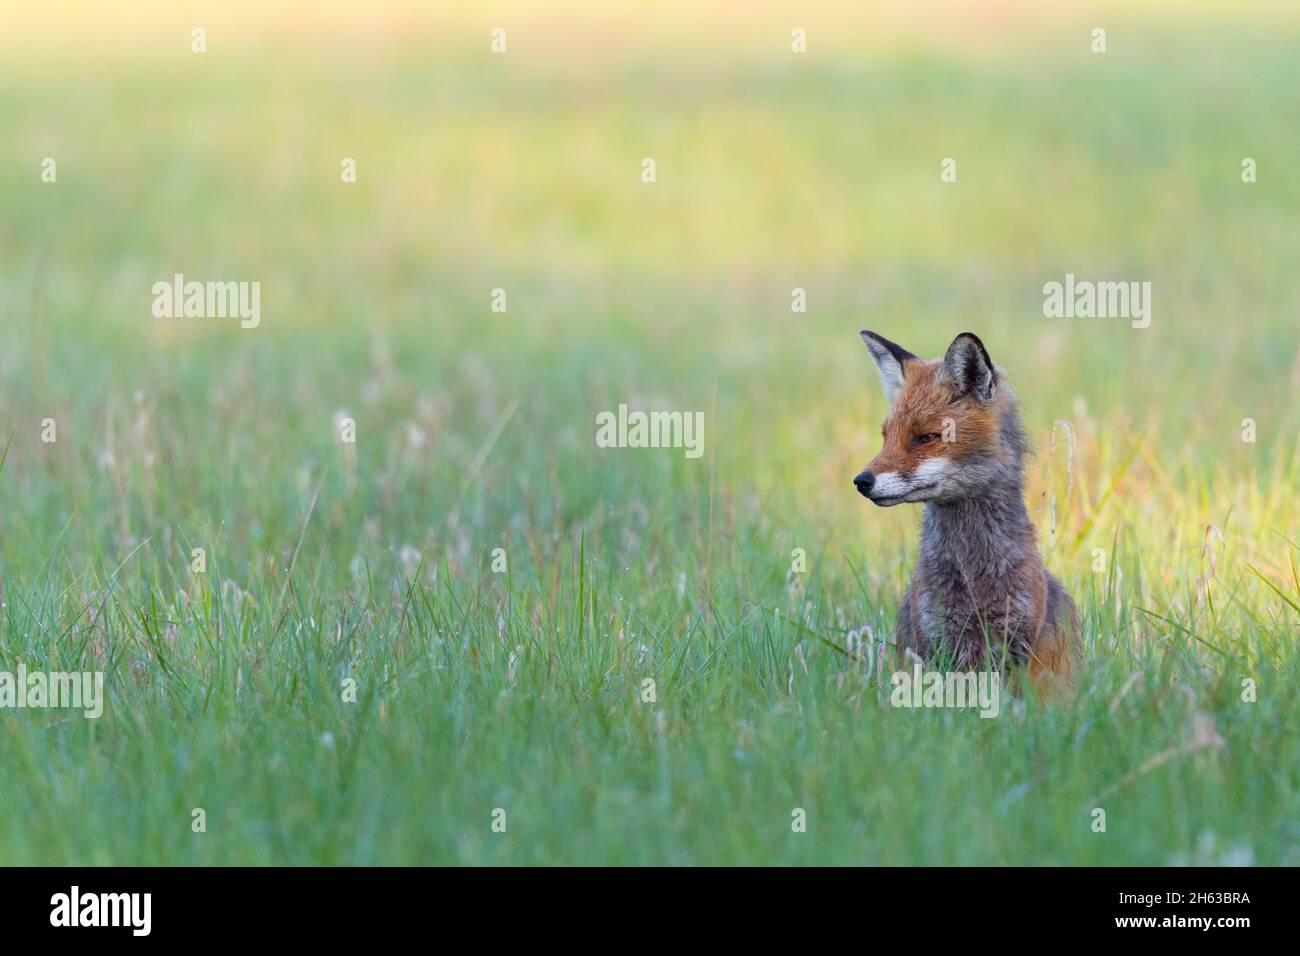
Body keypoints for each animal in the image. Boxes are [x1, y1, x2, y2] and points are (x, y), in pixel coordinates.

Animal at [854, 330, 1078, 693]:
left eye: (926, 437)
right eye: (886, 437)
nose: (861, 481)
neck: (971, 574)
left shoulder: (1016, 642)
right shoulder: (932, 640)